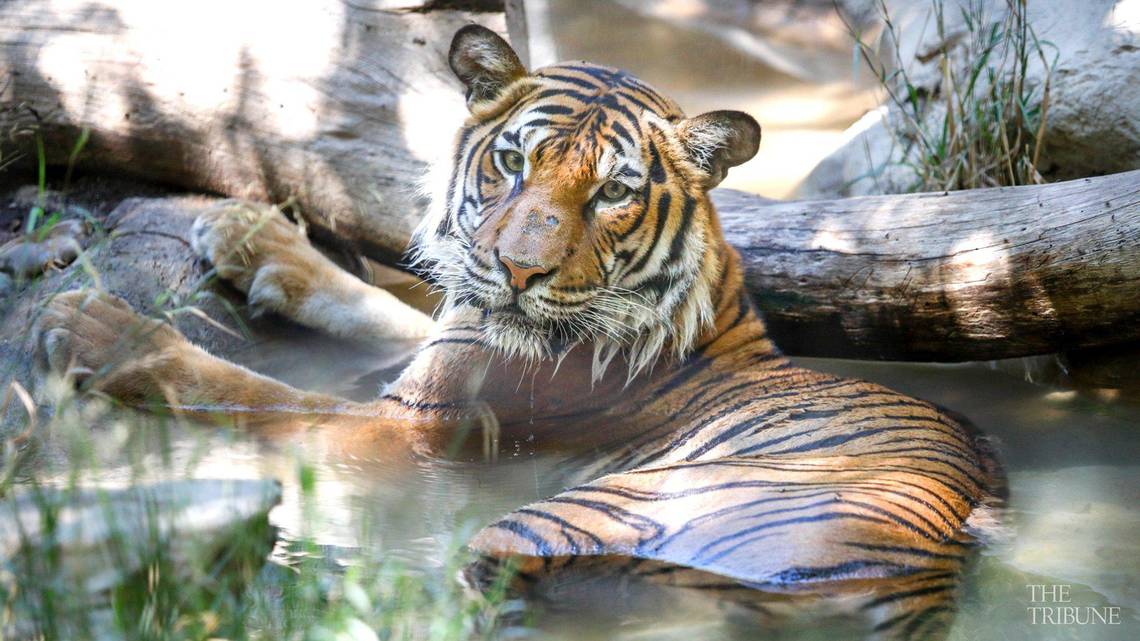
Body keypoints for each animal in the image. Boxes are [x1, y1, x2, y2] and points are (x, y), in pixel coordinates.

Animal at [36, 25, 1004, 639]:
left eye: (612, 191)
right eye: (511, 161)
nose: (516, 270)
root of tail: (929, 582)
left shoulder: (409, 427)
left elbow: (251, 391)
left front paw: (92, 325)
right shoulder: (444, 339)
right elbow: (385, 306)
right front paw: (249, 232)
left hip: (559, 520)